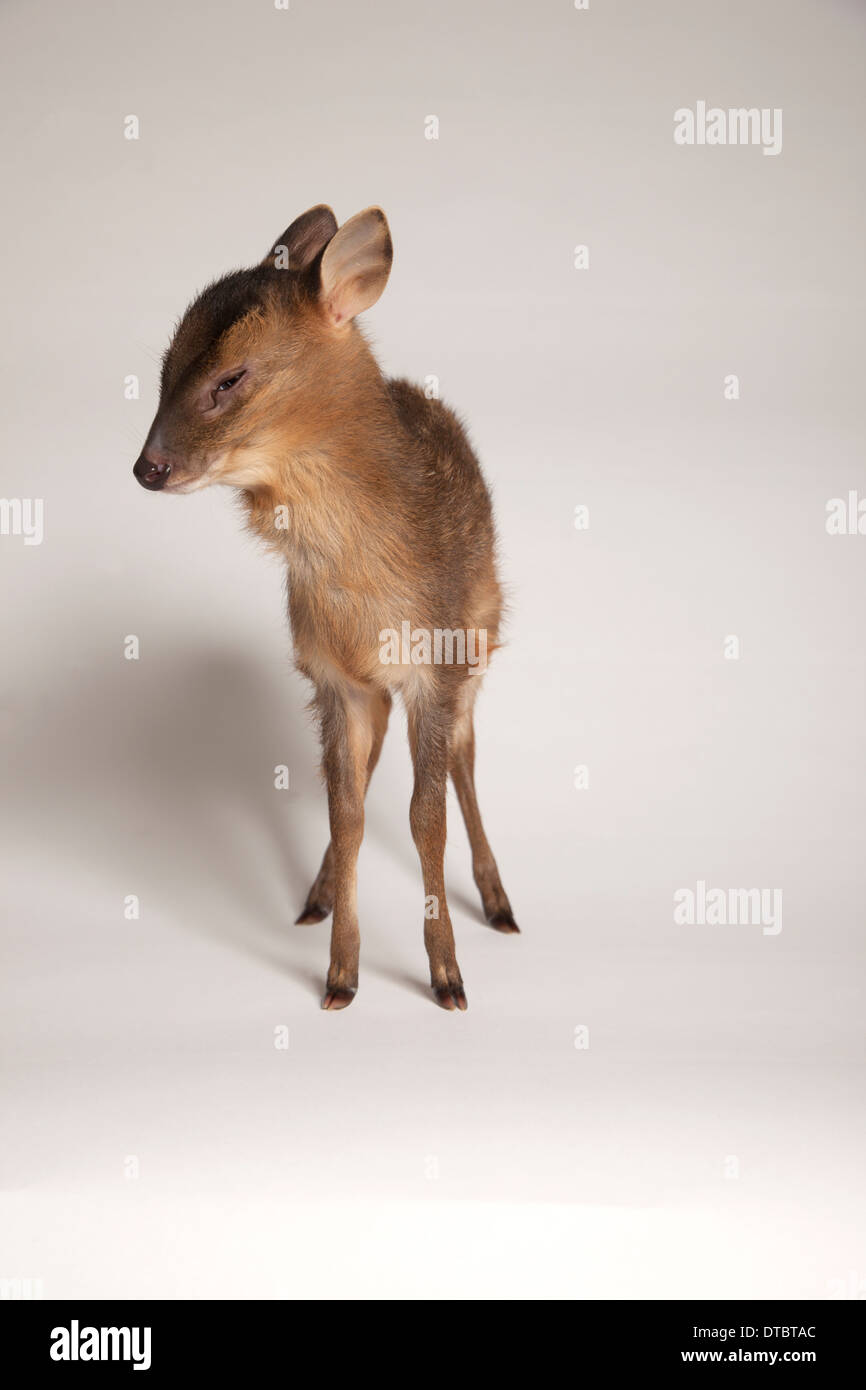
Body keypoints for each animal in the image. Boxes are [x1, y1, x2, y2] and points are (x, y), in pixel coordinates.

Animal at [133, 204, 518, 1011]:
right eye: (164, 369)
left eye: (231, 377)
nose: (148, 467)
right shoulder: (334, 678)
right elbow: (348, 812)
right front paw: (342, 974)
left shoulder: (435, 666)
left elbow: (426, 818)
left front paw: (447, 976)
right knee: (366, 782)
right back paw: (316, 895)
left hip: (481, 634)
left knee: (466, 759)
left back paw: (499, 904)